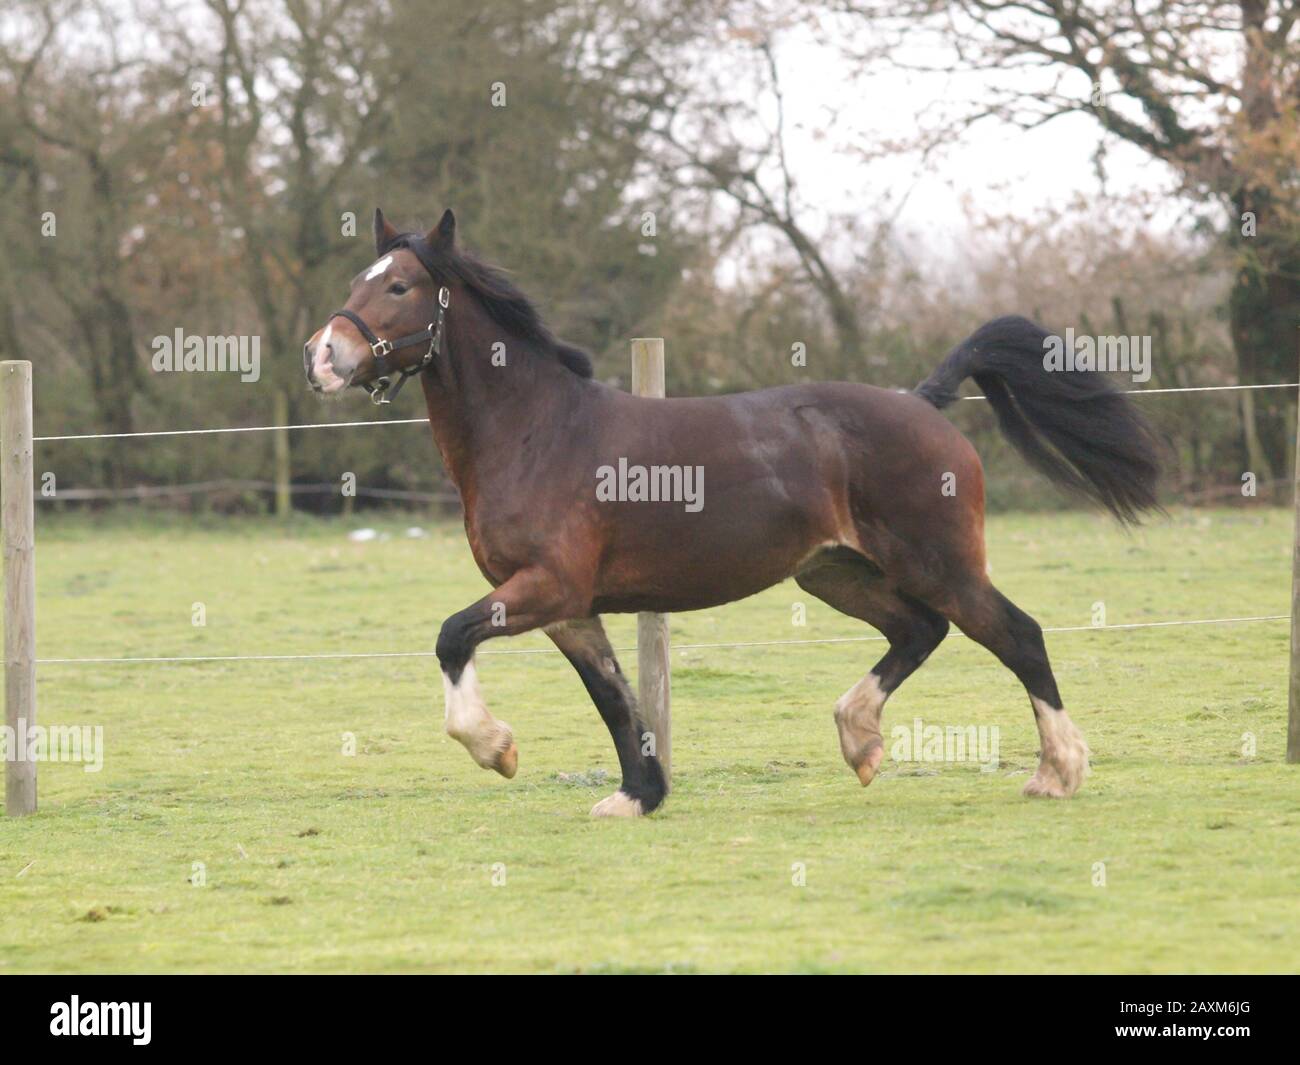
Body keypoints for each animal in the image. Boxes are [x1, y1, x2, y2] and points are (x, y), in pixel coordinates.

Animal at [303, 207, 1160, 817]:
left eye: (400, 286)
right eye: (360, 277)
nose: (323, 356)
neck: (536, 429)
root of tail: (924, 401)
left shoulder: (547, 585)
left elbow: (452, 637)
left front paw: (497, 748)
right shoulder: (568, 605)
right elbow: (614, 696)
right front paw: (637, 795)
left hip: (938, 562)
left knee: (1017, 634)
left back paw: (1057, 772)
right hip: (834, 573)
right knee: (919, 631)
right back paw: (860, 739)